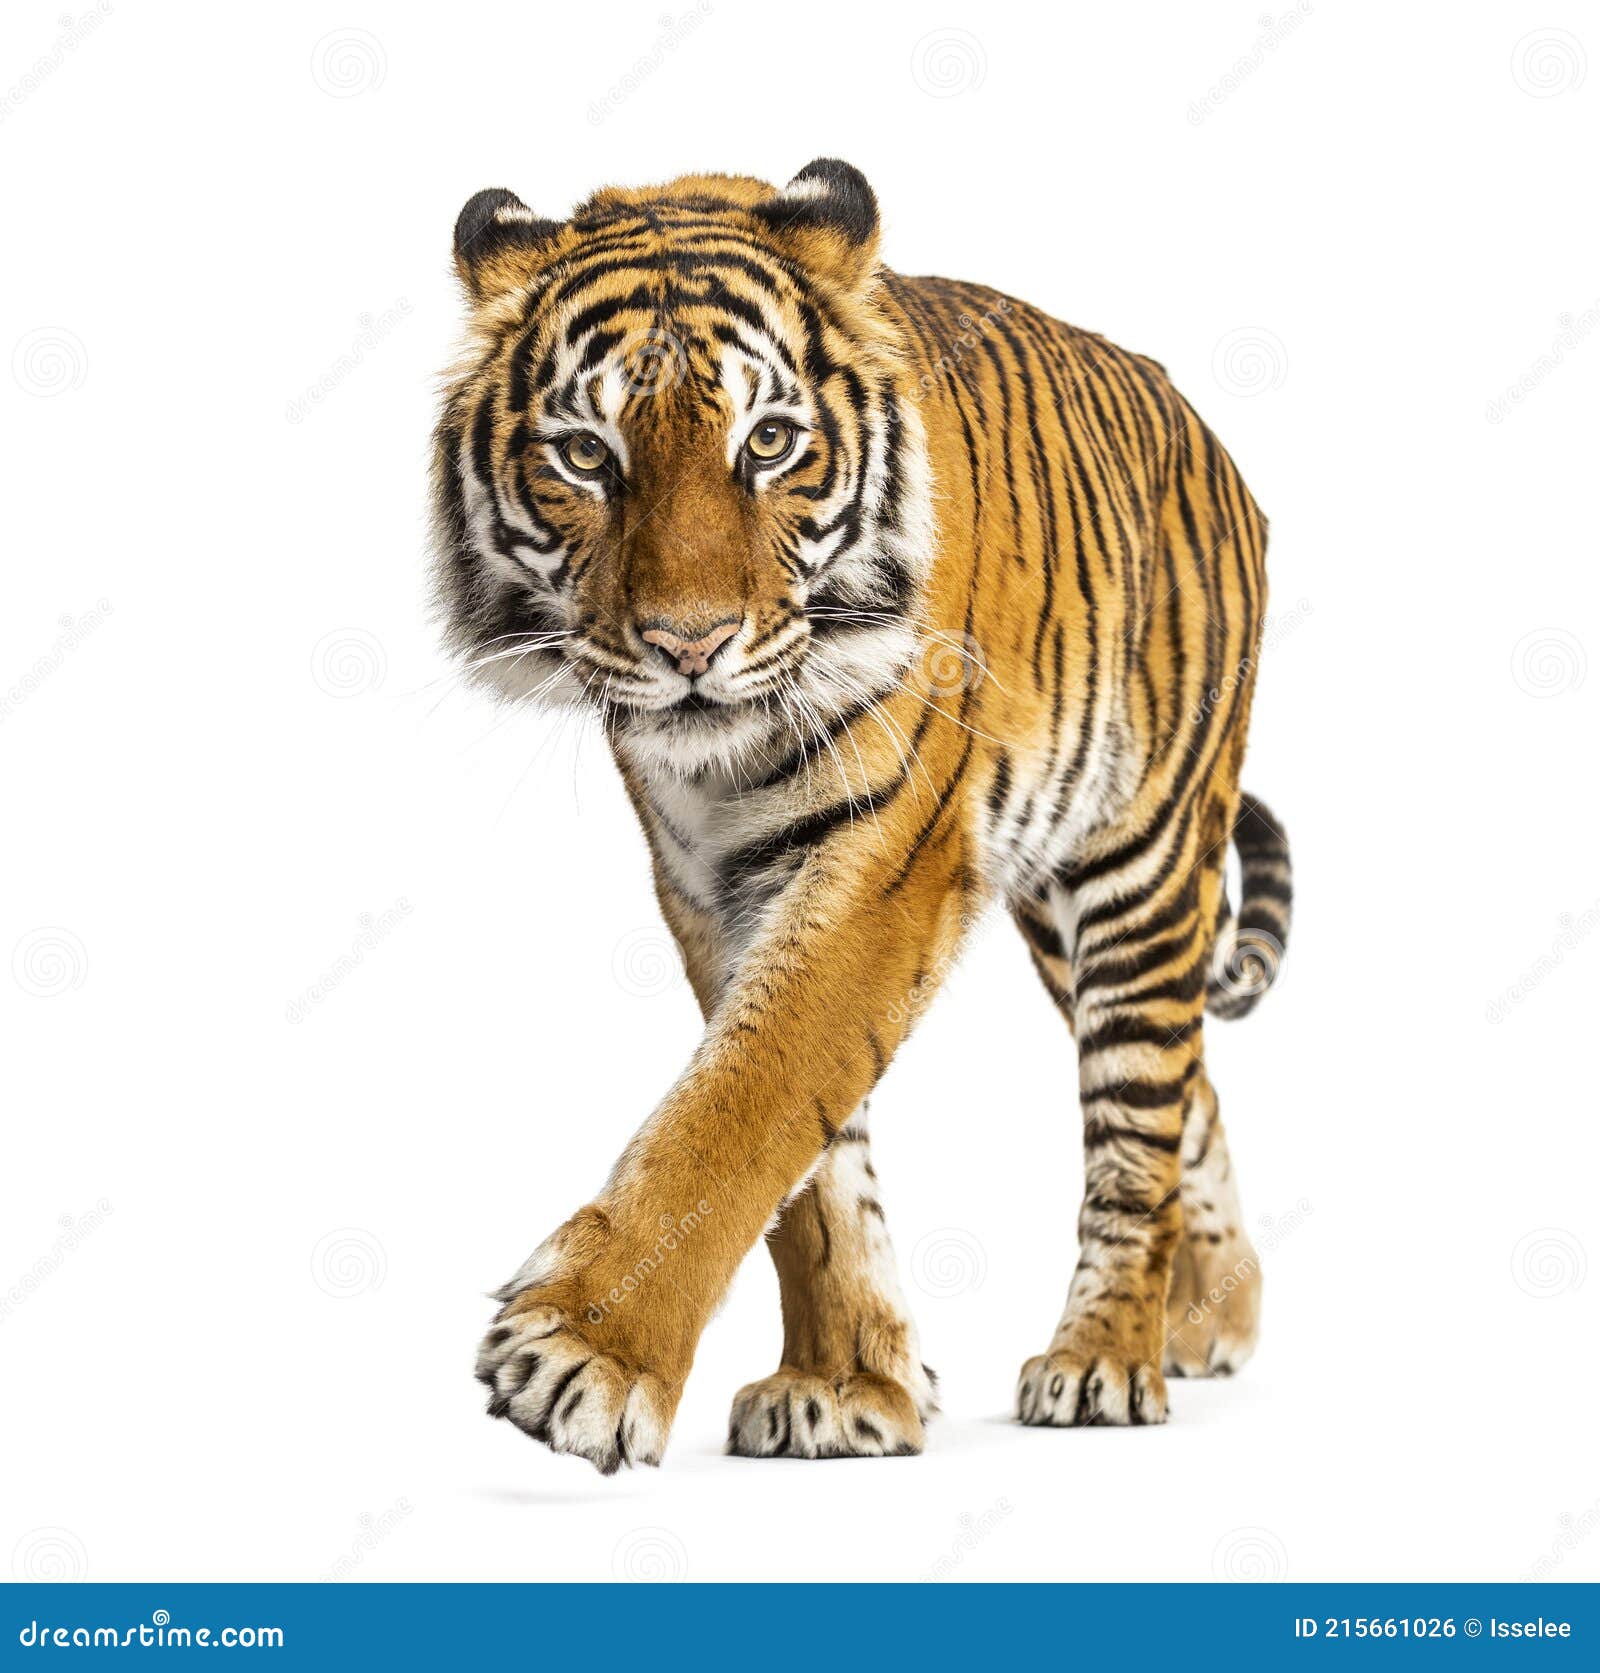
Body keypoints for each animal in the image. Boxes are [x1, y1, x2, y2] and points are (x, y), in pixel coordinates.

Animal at [436, 159, 1293, 1473]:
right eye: (585, 454)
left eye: (769, 441)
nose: (689, 643)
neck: (725, 763)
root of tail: (1196, 422)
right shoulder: (710, 886)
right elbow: (805, 1162)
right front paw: (845, 1385)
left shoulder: (892, 863)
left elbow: (751, 1094)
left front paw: (580, 1354)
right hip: (1061, 910)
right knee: (1190, 1092)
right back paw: (1209, 1313)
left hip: (1142, 861)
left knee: (1137, 1112)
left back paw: (1105, 1357)